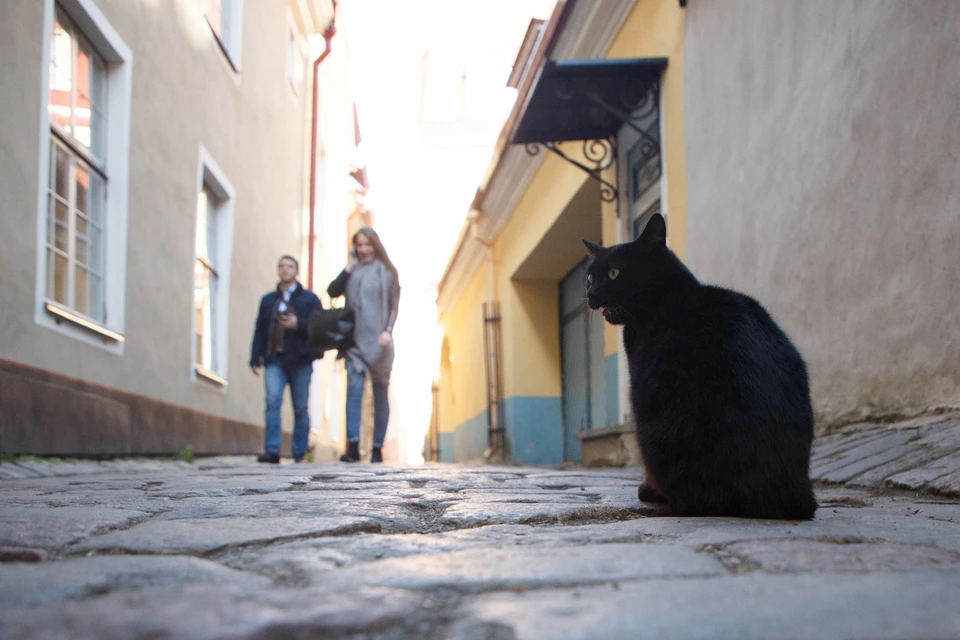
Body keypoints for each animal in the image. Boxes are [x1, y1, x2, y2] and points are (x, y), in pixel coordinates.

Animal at [584, 215, 816, 520]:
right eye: (589, 277)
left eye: (614, 273)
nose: (590, 294)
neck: (666, 294)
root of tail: (790, 494)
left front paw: (649, 489)